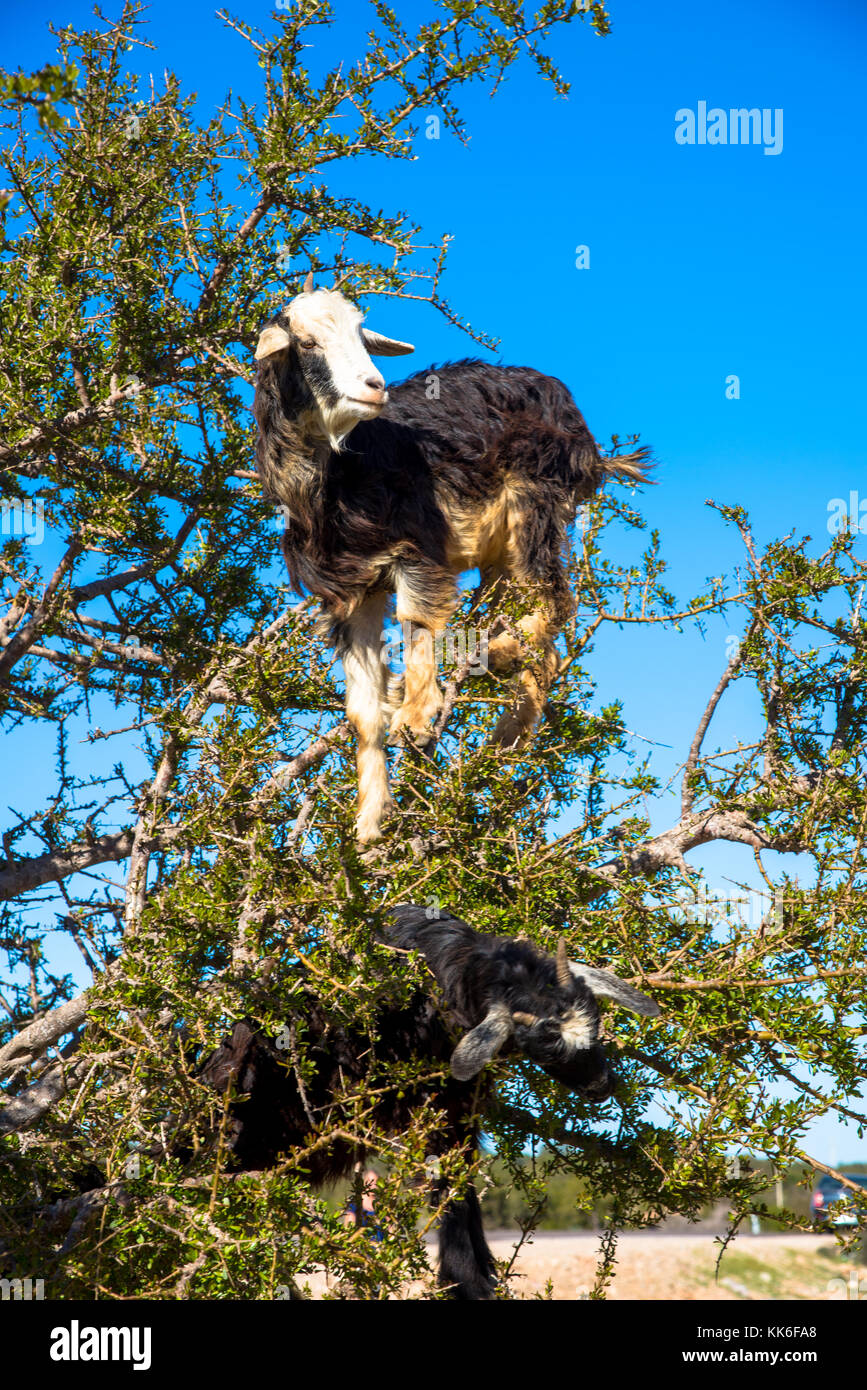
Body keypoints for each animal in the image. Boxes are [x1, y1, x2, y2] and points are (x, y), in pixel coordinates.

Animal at [197, 903, 659, 1300]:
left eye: (595, 1021)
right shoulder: (427, 1105)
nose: (602, 1085)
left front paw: (483, 1272)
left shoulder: (463, 1106)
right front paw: (464, 1283)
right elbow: (446, 1185)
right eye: (544, 1049)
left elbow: (466, 1181)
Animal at [253, 275, 649, 842]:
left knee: (552, 601)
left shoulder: (418, 547)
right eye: (306, 342)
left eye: (361, 335)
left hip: (536, 503)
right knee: (539, 636)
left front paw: (418, 717)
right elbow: (361, 712)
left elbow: (417, 619)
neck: (335, 477)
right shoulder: (350, 592)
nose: (374, 386)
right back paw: (506, 733)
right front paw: (370, 822)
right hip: (500, 553)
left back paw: (496, 660)